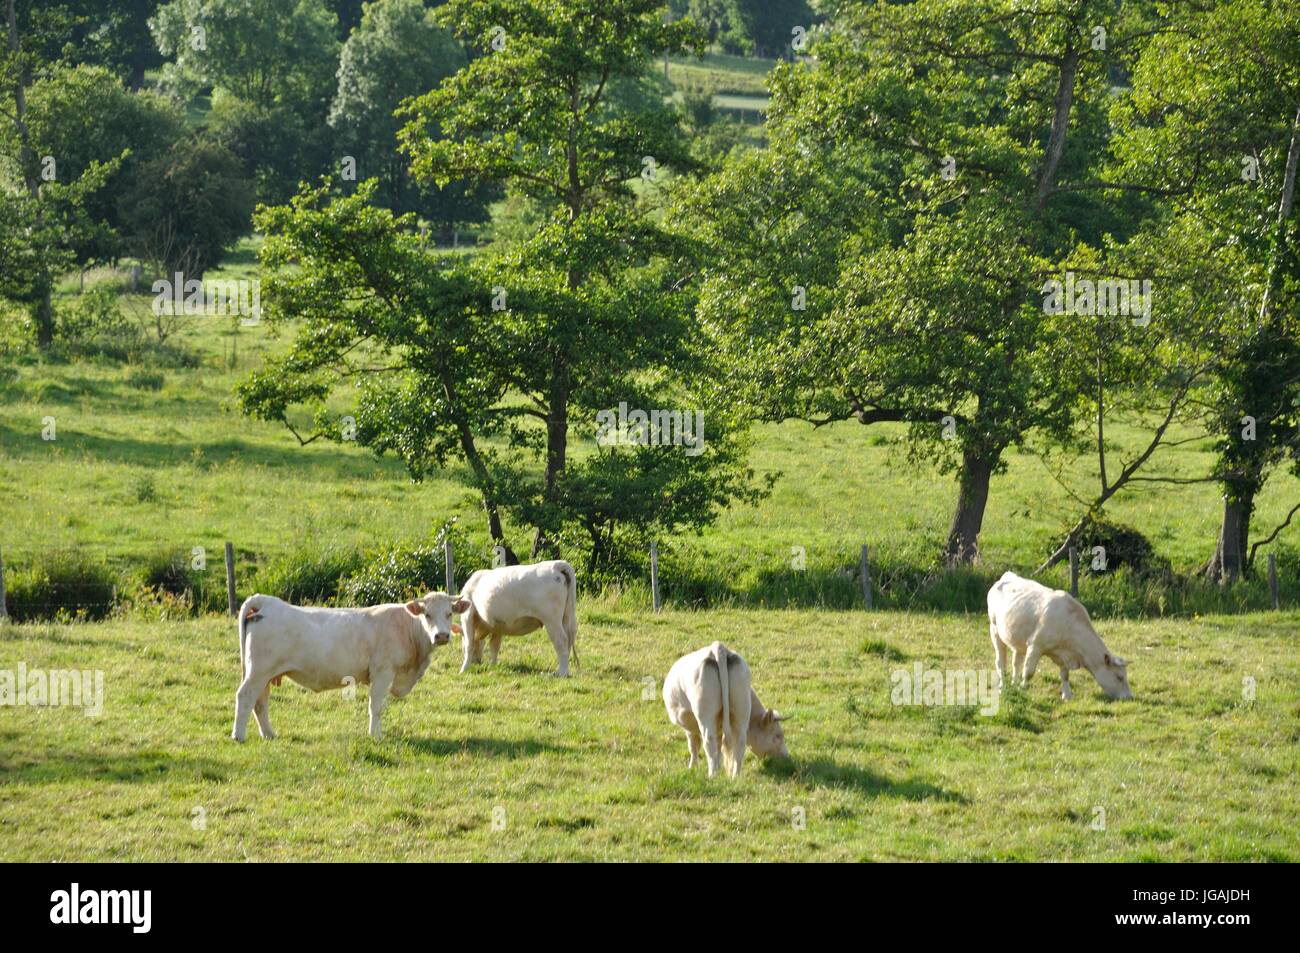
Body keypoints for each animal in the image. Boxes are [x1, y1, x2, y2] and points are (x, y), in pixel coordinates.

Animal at [231, 591, 460, 742]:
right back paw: (238, 735)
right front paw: (375, 736)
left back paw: (269, 734)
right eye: (427, 614)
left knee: (260, 702)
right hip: (258, 672)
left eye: (449, 613)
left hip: (265, 675)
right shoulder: (383, 672)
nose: (441, 635)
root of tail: (266, 601)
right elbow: (376, 706)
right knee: (245, 696)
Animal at [662, 641, 789, 778]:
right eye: (777, 735)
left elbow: (694, 745)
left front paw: (692, 767)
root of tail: (718, 647)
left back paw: (712, 776)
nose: (786, 757)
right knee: (739, 740)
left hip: (705, 714)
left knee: (709, 741)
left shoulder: (690, 726)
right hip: (741, 709)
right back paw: (735, 776)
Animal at [987, 571, 1133, 700]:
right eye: (1119, 677)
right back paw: (1002, 687)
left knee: (1016, 663)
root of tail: (1006, 576)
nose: (1129, 697)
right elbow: (1028, 673)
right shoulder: (1035, 646)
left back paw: (1013, 683)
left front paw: (1067, 695)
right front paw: (1022, 689)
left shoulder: (1063, 654)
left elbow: (1065, 674)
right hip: (994, 629)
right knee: (1001, 663)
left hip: (1018, 640)